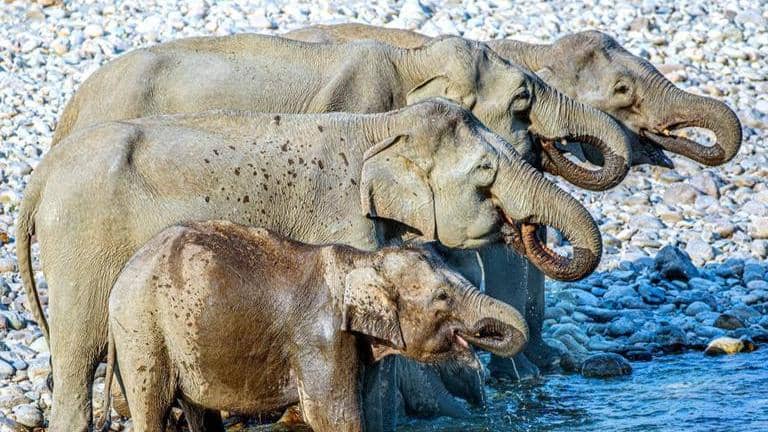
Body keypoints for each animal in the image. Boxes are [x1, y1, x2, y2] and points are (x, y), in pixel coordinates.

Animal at [99, 220, 529, 432]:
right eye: (442, 298)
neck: (362, 261)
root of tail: (118, 280)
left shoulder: (356, 344)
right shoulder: (321, 340)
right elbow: (333, 418)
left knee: (200, 413)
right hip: (143, 330)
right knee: (152, 408)